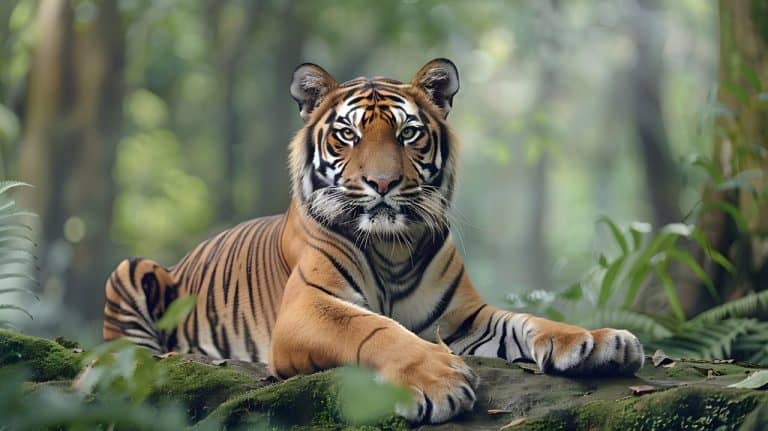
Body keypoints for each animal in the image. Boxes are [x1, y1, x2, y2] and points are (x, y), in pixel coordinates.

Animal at [103, 58, 644, 424]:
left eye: (408, 134)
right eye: (347, 134)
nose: (382, 183)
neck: (392, 247)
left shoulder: (463, 317)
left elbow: (527, 321)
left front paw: (597, 341)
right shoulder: (309, 307)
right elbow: (376, 329)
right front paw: (439, 381)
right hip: (132, 269)